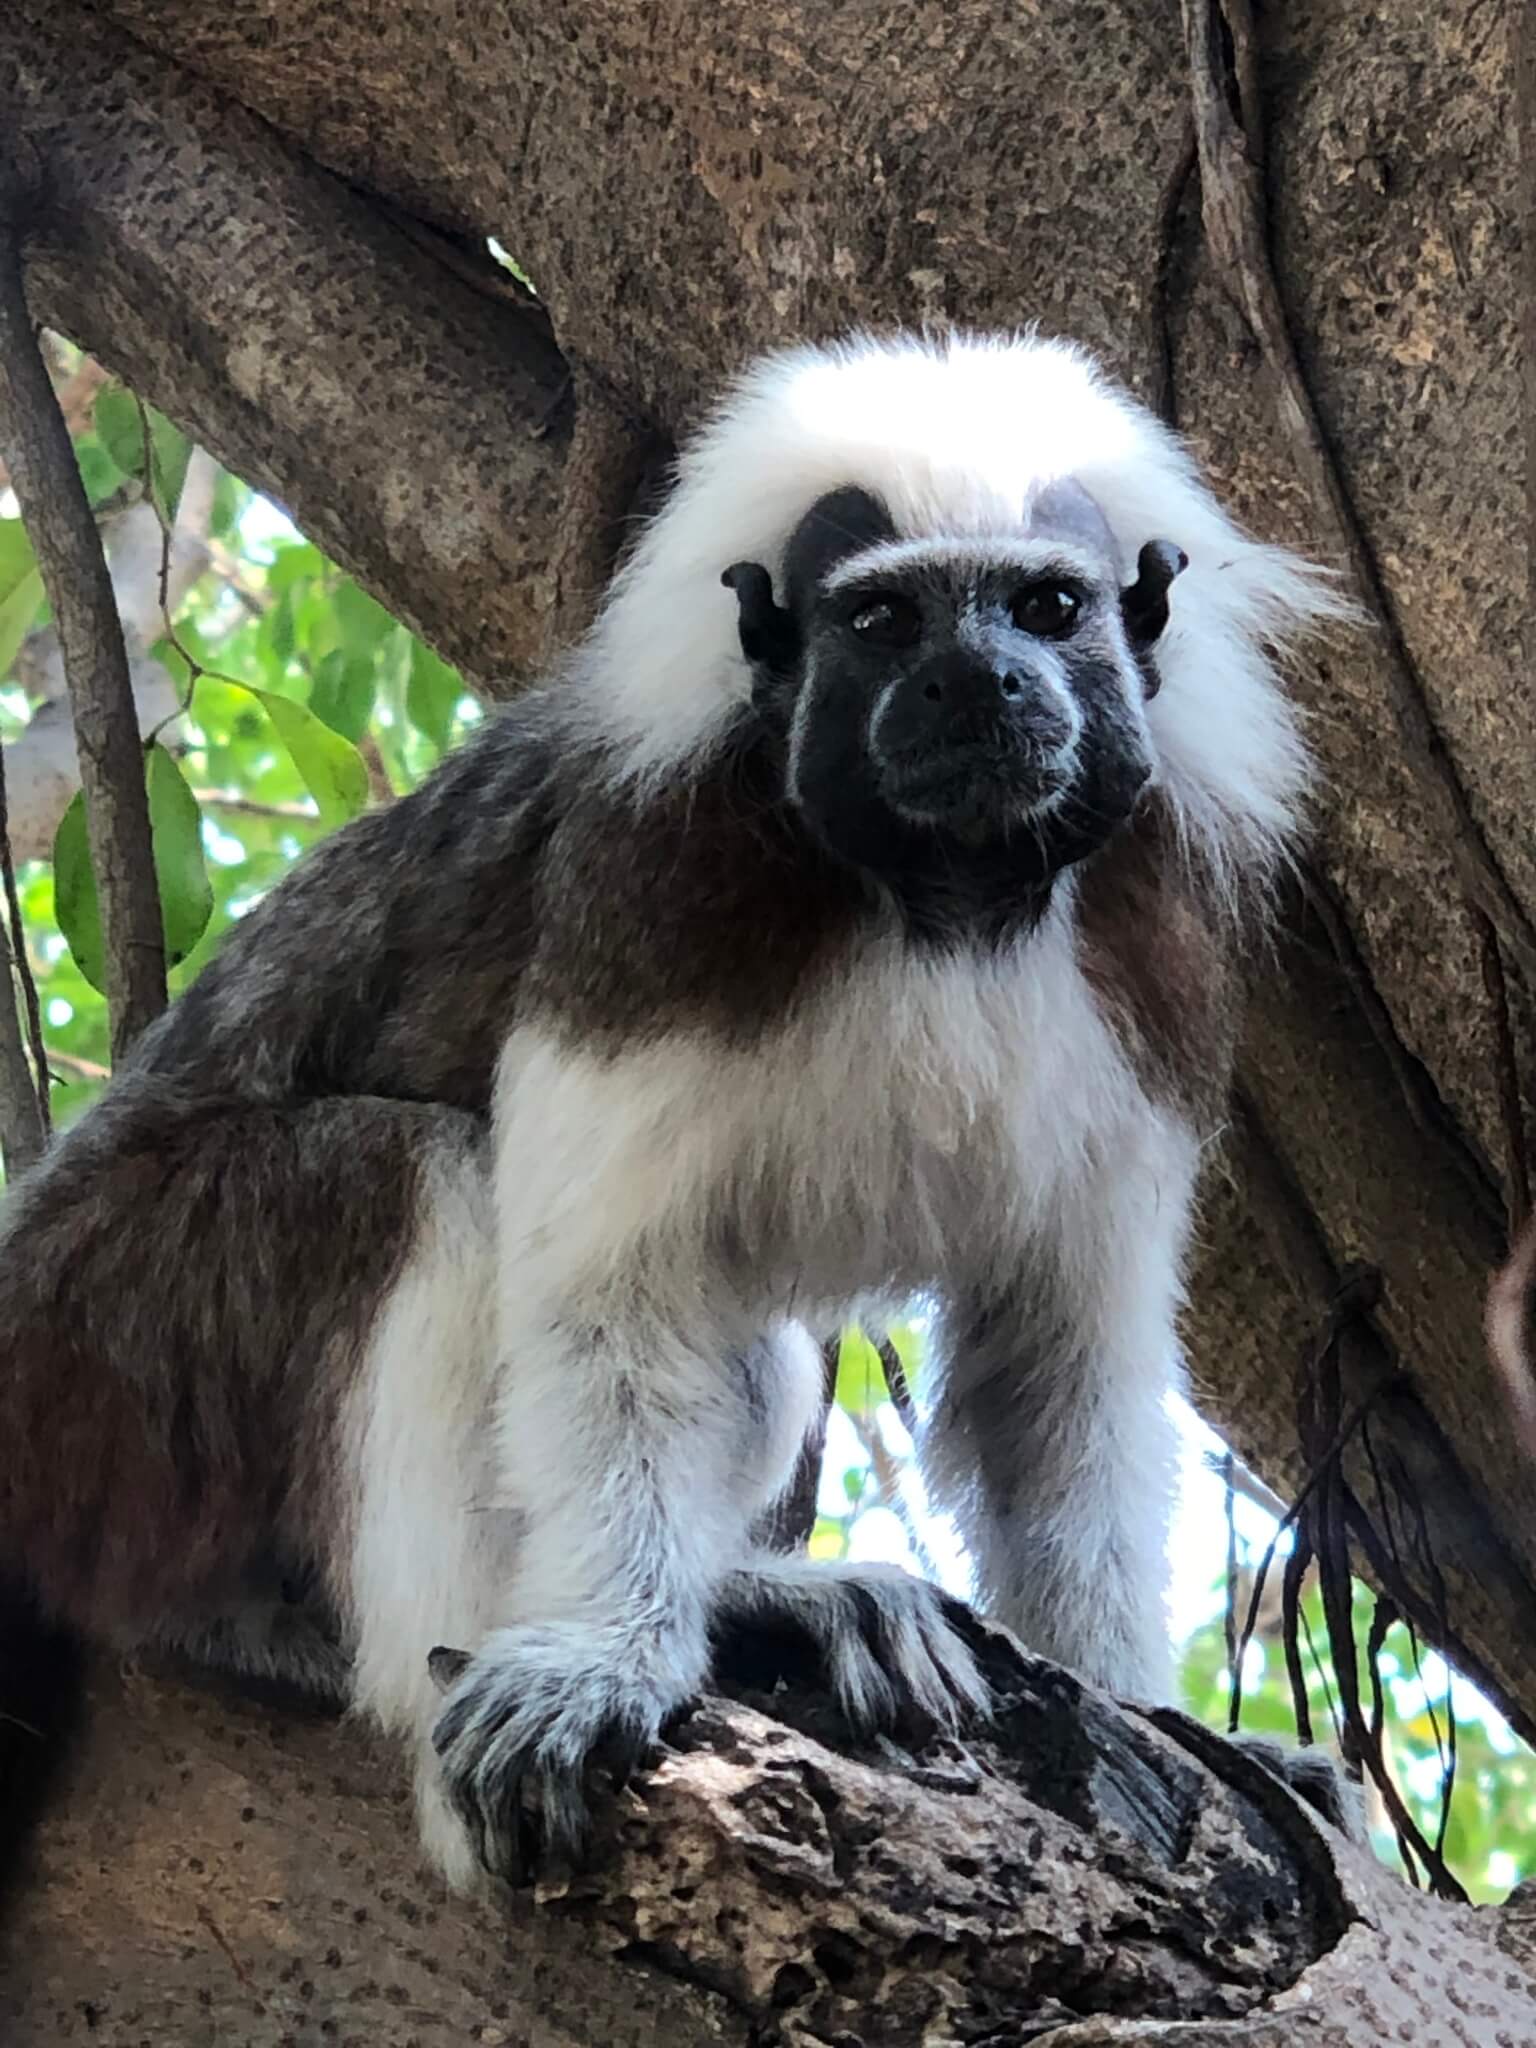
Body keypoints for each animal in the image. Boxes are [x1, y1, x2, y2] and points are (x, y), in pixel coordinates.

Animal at [0, 330, 1344, 1889]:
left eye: (1047, 608)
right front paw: (603, 1656)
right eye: (884, 622)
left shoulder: (1156, 951)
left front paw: (1155, 1713)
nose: (980, 683)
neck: (941, 900)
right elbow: (606, 1291)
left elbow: (1055, 1374)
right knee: (394, 1174)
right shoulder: (655, 890)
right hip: (109, 1356)